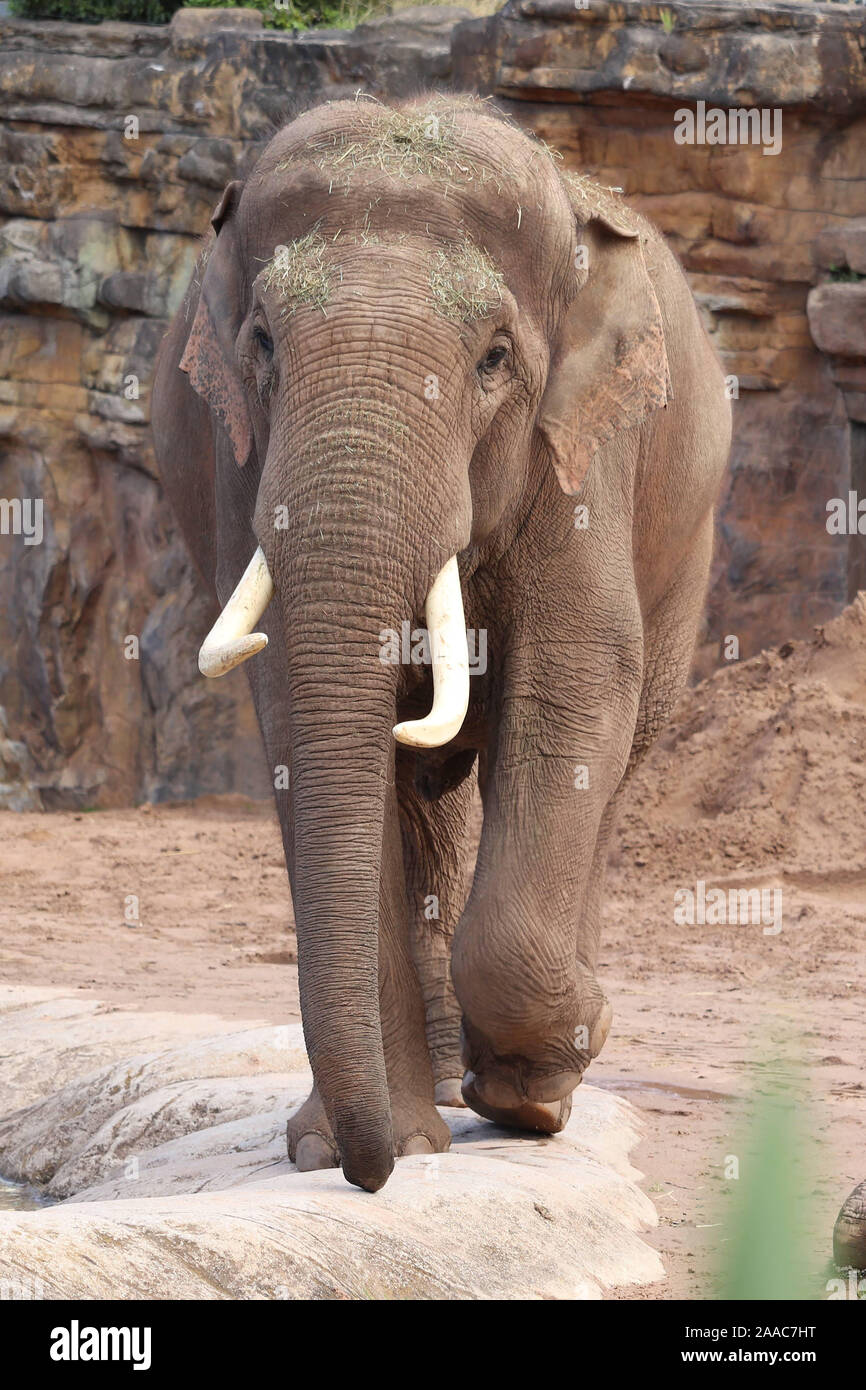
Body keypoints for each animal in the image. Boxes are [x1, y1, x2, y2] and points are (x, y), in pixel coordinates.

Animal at [152, 94, 731, 1193]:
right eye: (263, 345)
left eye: (494, 357)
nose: (368, 1176)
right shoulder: (235, 459)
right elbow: (306, 717)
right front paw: (356, 1148)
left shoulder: (585, 452)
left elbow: (575, 684)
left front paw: (538, 1086)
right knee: (422, 793)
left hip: (688, 536)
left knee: (616, 756)